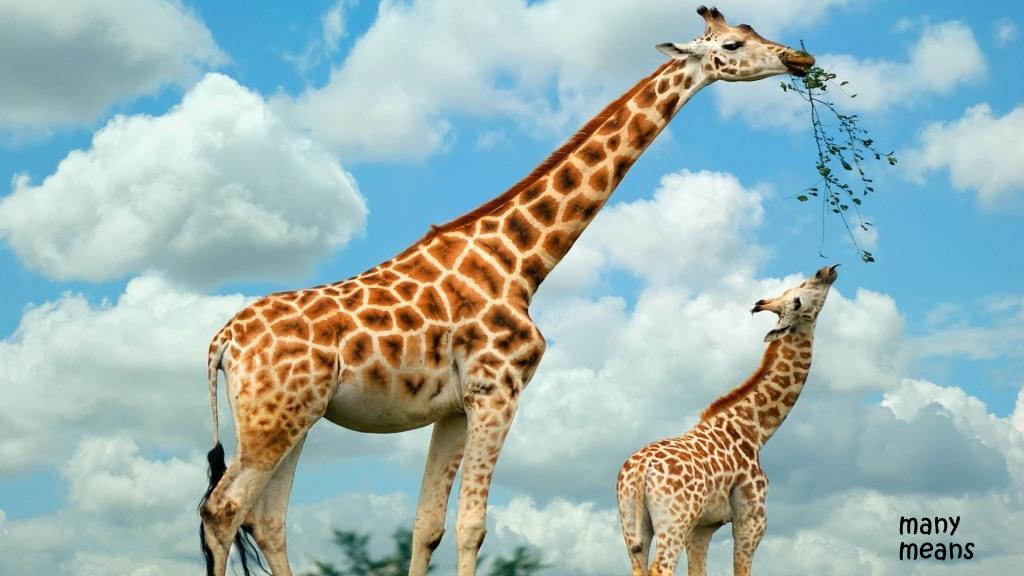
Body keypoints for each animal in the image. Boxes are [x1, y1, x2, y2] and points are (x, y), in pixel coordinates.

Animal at [197, 6, 816, 576]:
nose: (800, 58)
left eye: (755, 30)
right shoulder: (498, 390)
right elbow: (472, 526)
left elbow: (427, 525)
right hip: (273, 420)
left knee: (267, 518)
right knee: (222, 510)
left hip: (295, 417)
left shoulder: (454, 407)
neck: (523, 263)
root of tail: (222, 342)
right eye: (733, 44)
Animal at [615, 265, 838, 576]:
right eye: (797, 299)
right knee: (661, 568)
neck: (755, 431)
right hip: (674, 520)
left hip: (632, 522)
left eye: (793, 291)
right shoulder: (752, 520)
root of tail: (640, 471)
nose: (826, 271)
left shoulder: (703, 527)